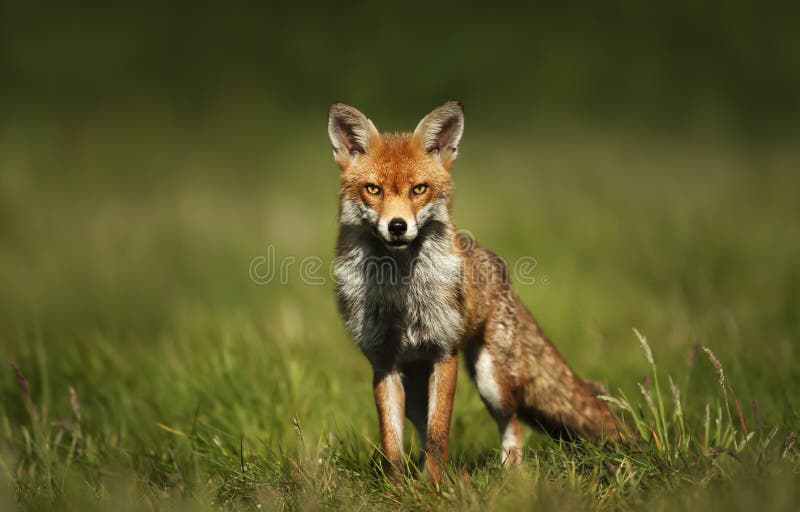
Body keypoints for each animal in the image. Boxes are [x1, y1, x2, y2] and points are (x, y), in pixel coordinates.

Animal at [328, 101, 623, 485]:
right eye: (373, 190)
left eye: (419, 189)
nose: (397, 226)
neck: (401, 295)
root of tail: (497, 265)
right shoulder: (383, 362)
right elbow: (392, 442)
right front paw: (396, 489)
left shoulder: (445, 354)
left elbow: (439, 435)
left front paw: (436, 487)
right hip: (417, 391)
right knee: (421, 429)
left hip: (490, 379)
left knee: (512, 424)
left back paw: (510, 478)